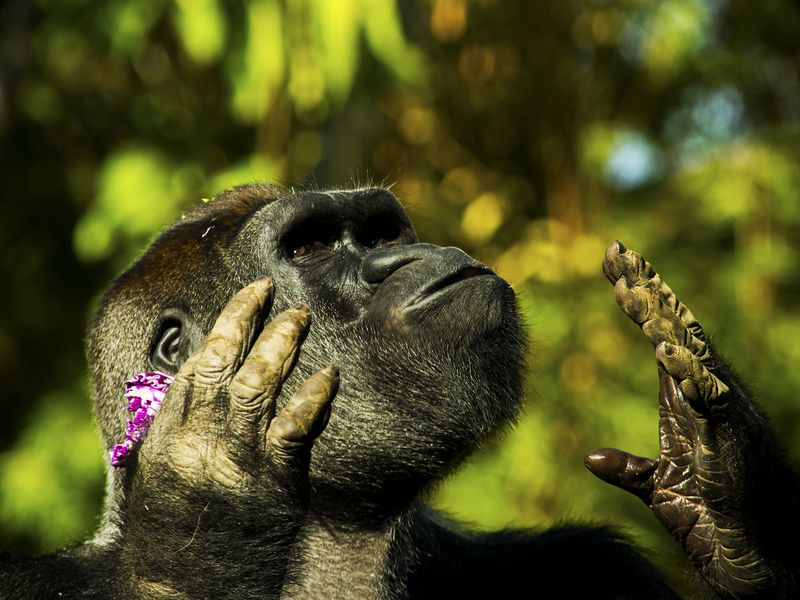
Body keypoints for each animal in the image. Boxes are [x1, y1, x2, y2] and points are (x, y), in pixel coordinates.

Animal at [1, 183, 798, 598]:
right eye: (309, 247)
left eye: (383, 229)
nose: (407, 256)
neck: (336, 531)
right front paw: (206, 498)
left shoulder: (597, 568)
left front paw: (724, 484)